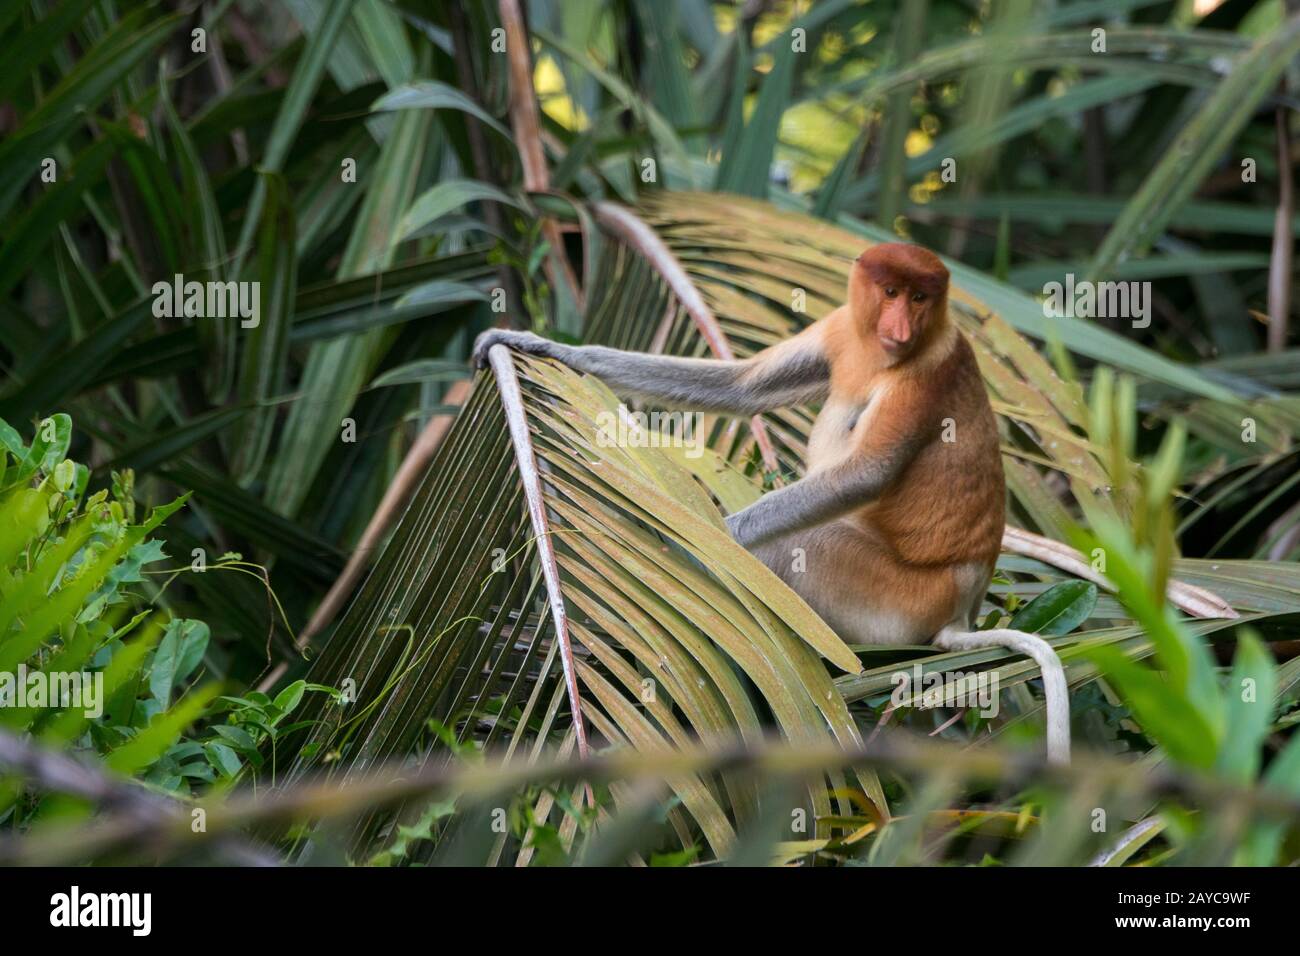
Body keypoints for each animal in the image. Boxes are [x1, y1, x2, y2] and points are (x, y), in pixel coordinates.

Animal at [472, 243, 1070, 764]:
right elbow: (744, 387)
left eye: (921, 298)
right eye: (892, 292)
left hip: (897, 603)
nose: (901, 329)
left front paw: (686, 542)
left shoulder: (927, 374)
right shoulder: (840, 327)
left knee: (796, 550)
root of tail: (962, 607)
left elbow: (864, 475)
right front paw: (540, 345)